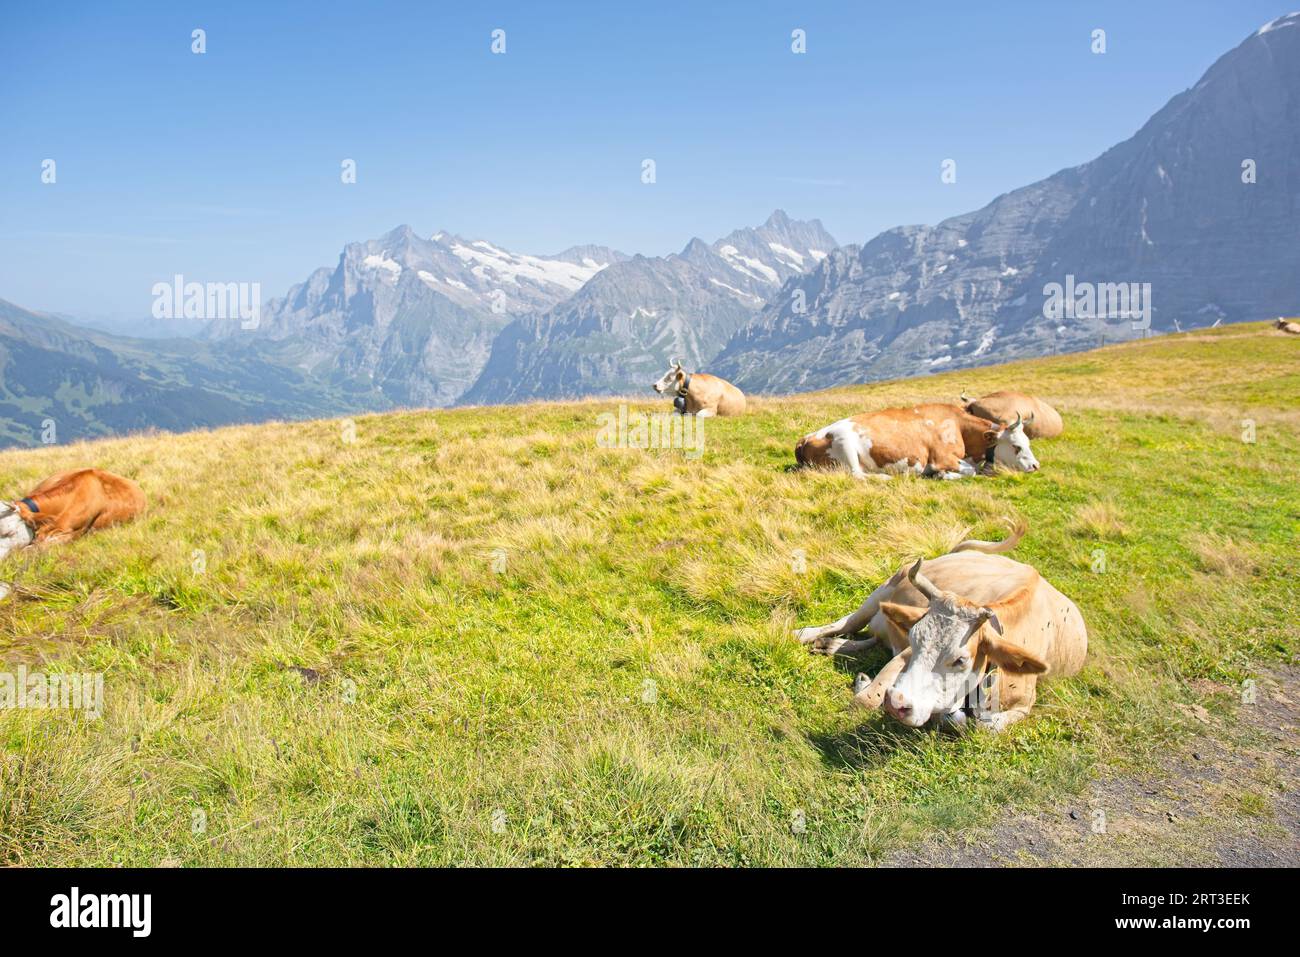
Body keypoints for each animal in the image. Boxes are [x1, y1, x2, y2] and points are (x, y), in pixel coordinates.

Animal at [793, 522, 1087, 732]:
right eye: (915, 639)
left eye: (960, 660)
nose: (897, 703)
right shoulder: (905, 655)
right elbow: (865, 700)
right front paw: (865, 686)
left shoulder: (1024, 705)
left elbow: (985, 727)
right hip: (884, 589)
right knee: (847, 623)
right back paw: (809, 635)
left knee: (871, 638)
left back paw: (833, 646)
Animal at [794, 403, 1038, 480]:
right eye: (1016, 446)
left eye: (1028, 441)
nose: (1036, 466)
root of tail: (806, 437)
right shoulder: (942, 458)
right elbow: (970, 471)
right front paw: (943, 475)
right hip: (845, 445)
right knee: (858, 475)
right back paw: (886, 477)